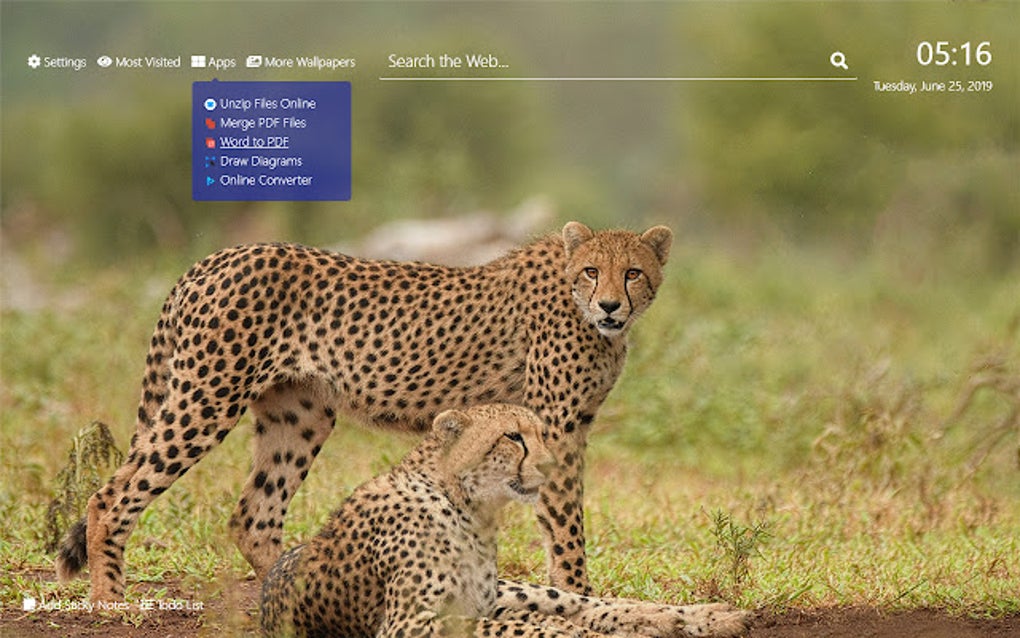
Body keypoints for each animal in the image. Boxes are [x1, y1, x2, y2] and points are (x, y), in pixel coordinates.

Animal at [56, 221, 674, 603]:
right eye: (593, 271)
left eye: (633, 272)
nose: (611, 305)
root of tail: (217, 256)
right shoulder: (556, 427)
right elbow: (565, 523)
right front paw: (577, 594)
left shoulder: (570, 427)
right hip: (208, 397)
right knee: (111, 496)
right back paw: (110, 601)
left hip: (300, 415)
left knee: (254, 515)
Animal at [259, 403, 751, 638]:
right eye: (513, 437)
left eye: (540, 434)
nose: (551, 465)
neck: (470, 509)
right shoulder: (408, 623)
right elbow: (523, 628)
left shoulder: (476, 602)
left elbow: (543, 621)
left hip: (511, 588)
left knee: (586, 602)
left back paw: (710, 617)